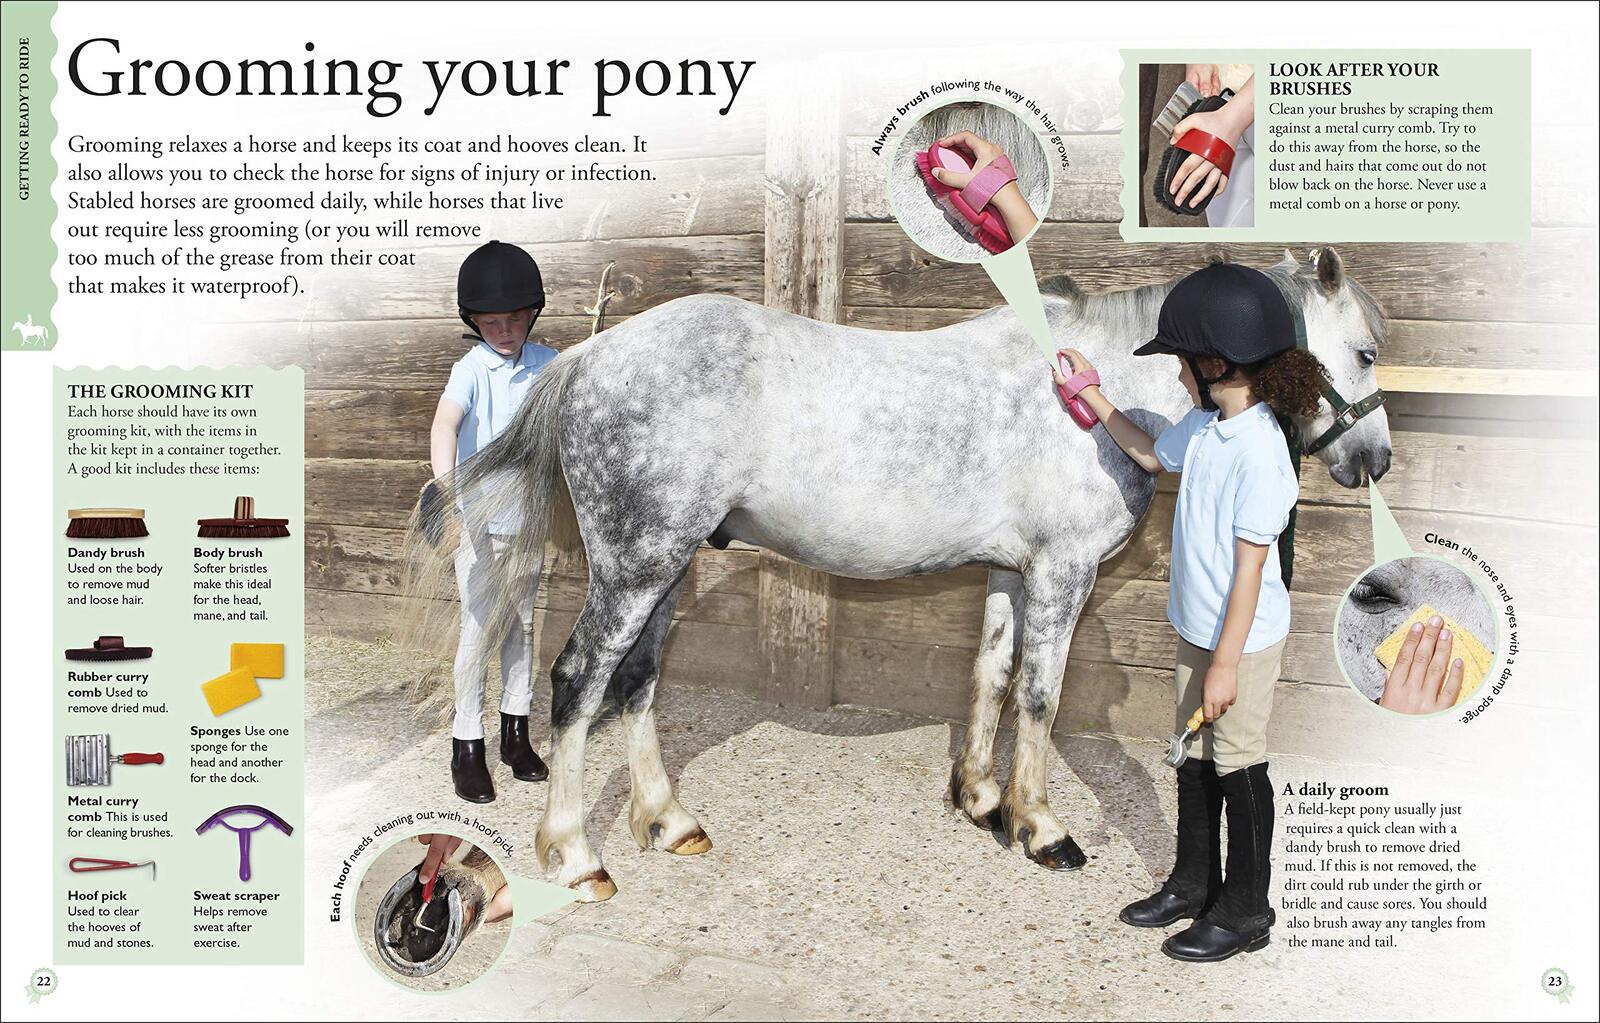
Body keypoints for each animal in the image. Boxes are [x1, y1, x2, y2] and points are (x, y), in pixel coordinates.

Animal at [404, 246, 1392, 902]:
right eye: (1367, 351)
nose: (1374, 459)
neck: (1103, 396)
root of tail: (588, 356)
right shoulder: (1063, 569)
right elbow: (1042, 693)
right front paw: (1042, 827)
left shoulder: (1011, 572)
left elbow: (992, 673)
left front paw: (982, 799)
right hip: (637, 564)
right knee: (580, 681)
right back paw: (577, 855)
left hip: (666, 564)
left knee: (638, 680)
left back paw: (671, 822)